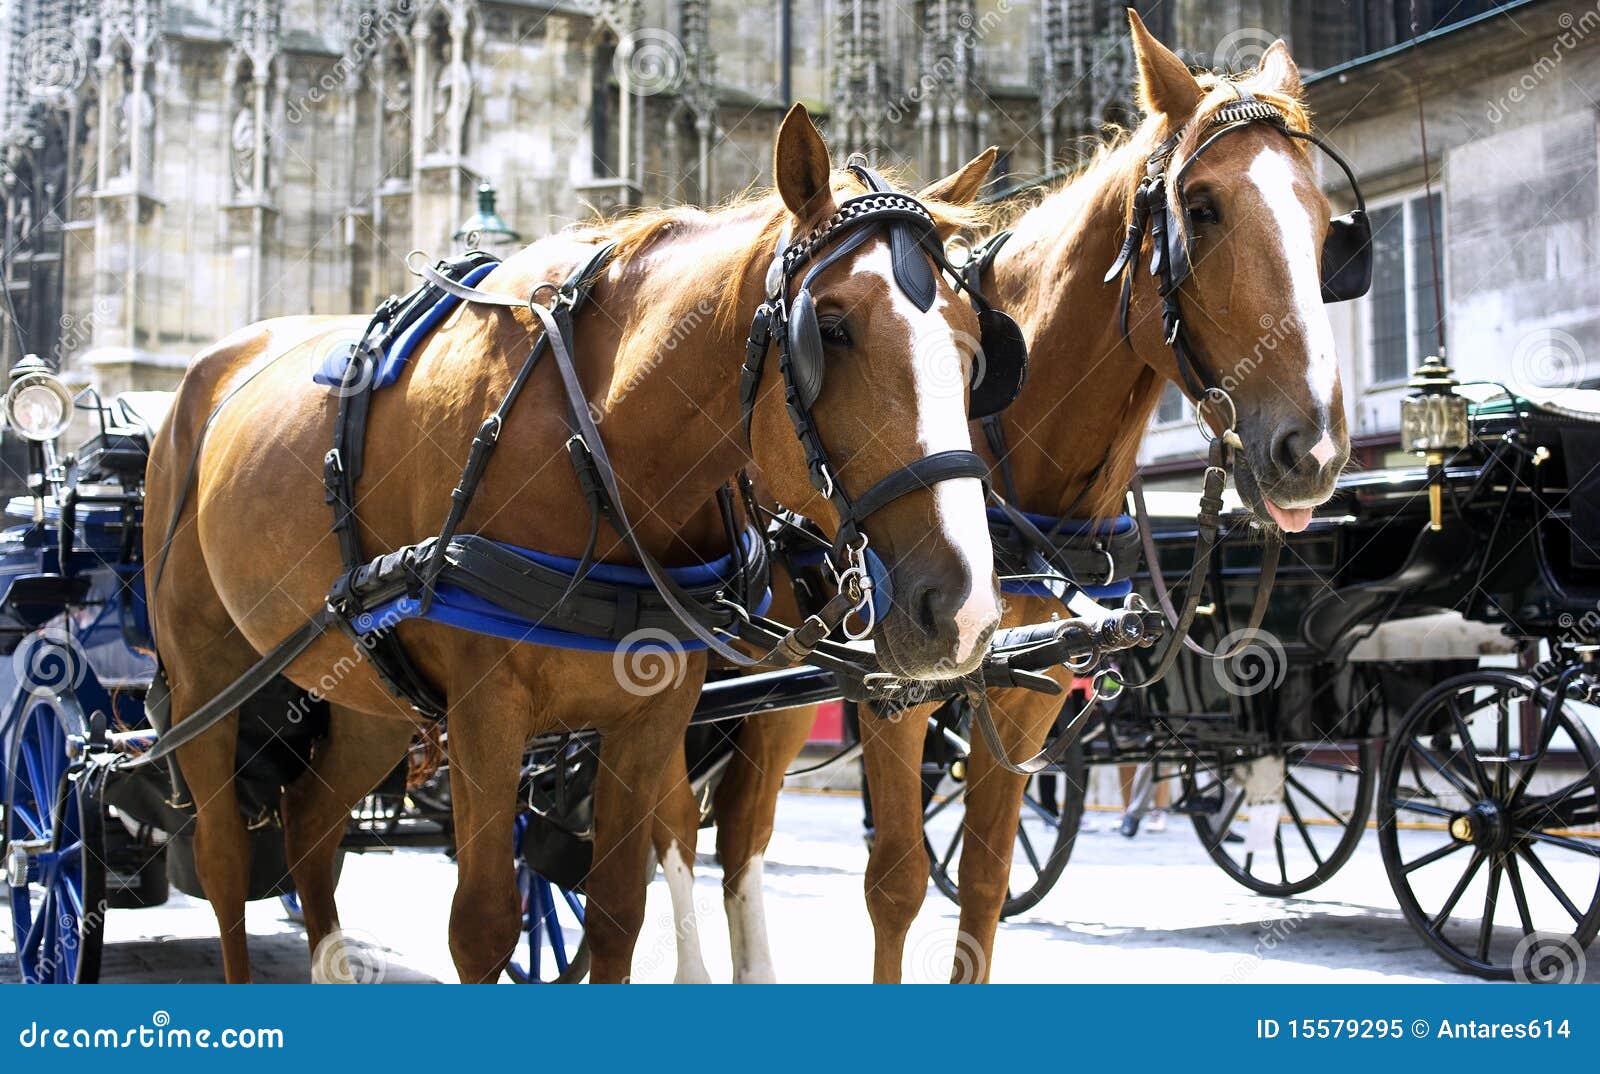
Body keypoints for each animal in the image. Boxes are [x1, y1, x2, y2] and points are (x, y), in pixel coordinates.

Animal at [142, 104, 1004, 983]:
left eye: (975, 339)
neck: (590, 447)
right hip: (208, 677)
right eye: (829, 329)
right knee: (222, 856)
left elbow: (620, 909)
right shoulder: (485, 712)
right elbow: (484, 925)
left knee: (310, 820)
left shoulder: (652, 714)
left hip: (363, 691)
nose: (963, 608)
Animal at [647, 13, 1357, 982]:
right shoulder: (896, 690)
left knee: (738, 832)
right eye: (1203, 207)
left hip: (776, 699)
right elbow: (897, 883)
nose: (1311, 448)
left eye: (1324, 221)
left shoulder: (1031, 692)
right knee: (672, 825)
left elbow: (984, 888)